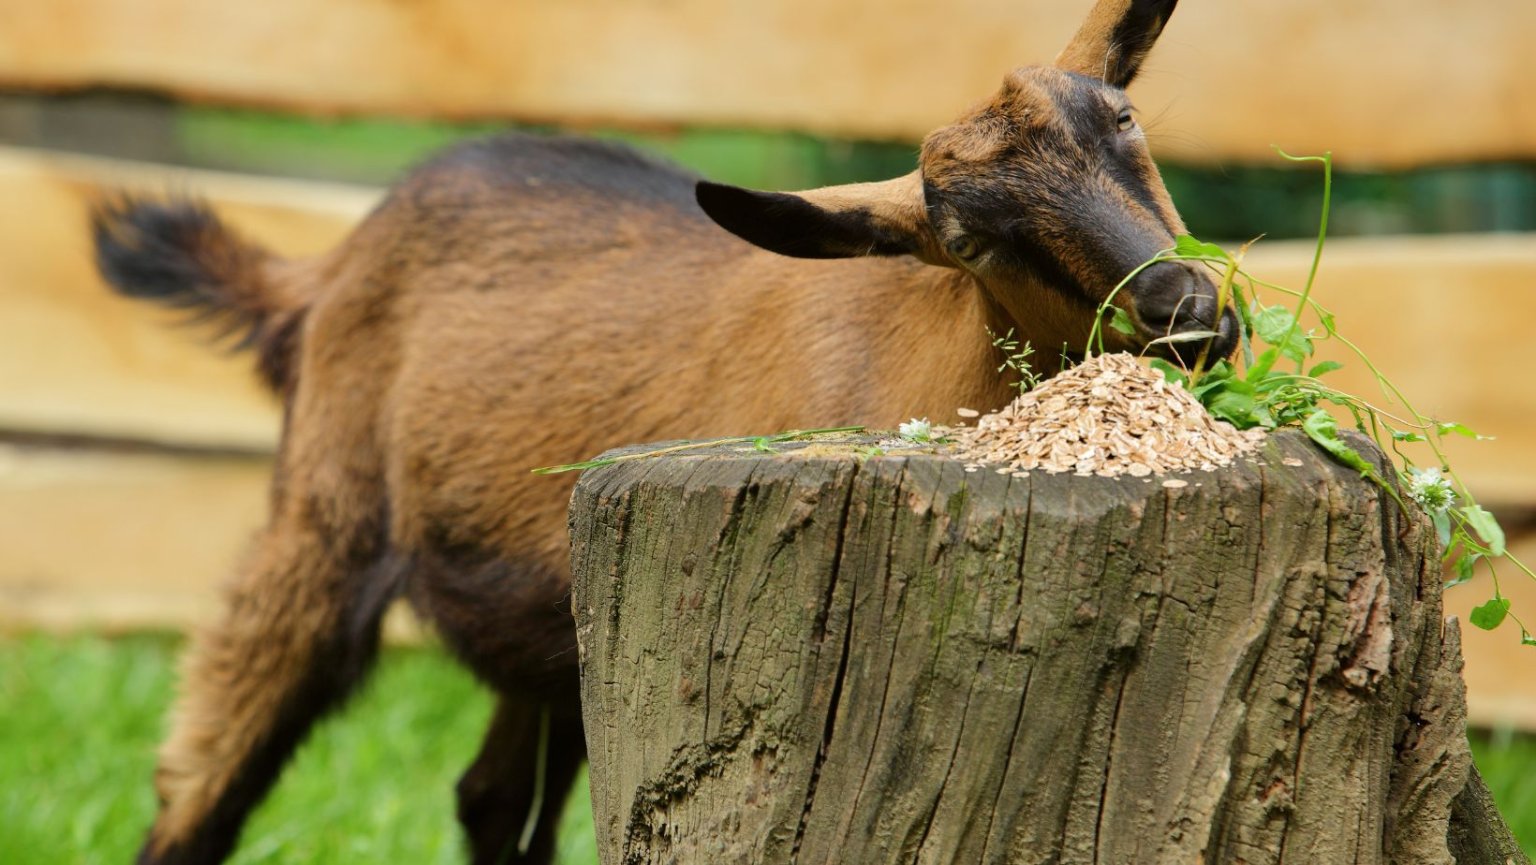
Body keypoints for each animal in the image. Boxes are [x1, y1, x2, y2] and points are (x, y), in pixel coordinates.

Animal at [91, 0, 1232, 862]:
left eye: (1122, 118)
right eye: (969, 237)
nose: (1186, 310)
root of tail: (323, 267)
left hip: (553, 626)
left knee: (491, 799)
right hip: (322, 521)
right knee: (204, 771)